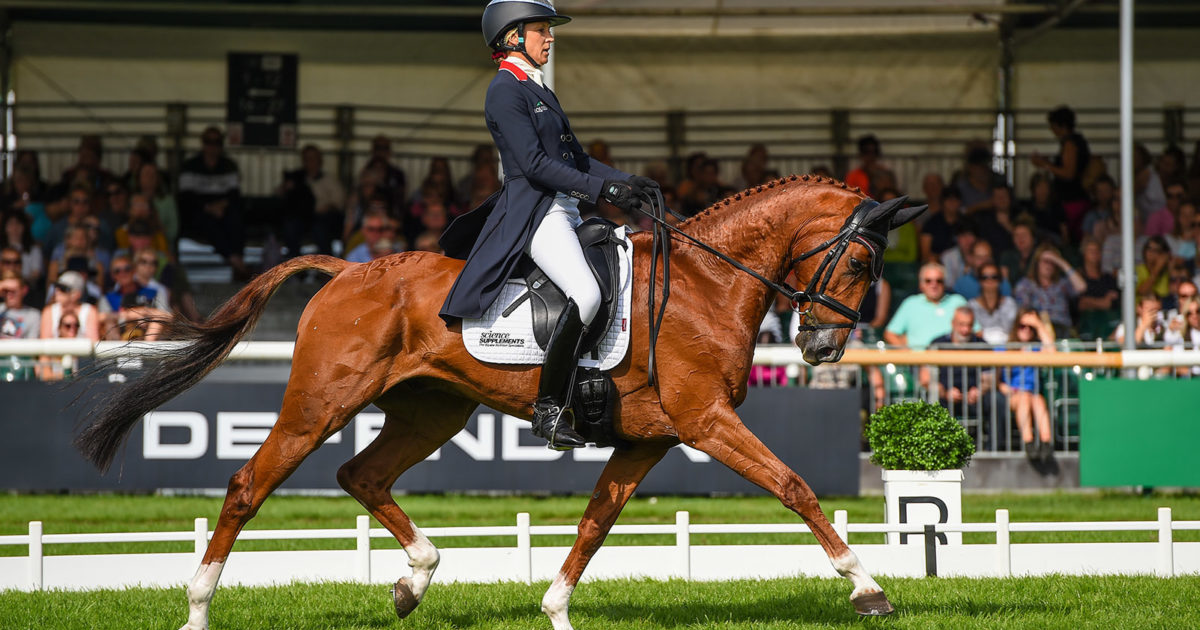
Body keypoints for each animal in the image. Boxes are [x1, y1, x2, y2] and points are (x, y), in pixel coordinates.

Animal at [74, 175, 923, 630]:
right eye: (857, 263)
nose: (822, 351)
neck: (706, 286)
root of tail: (348, 270)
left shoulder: (647, 439)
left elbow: (595, 522)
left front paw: (555, 606)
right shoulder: (706, 421)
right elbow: (795, 486)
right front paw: (869, 587)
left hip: (432, 409)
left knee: (363, 476)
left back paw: (415, 578)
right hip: (321, 404)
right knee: (249, 485)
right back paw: (197, 606)